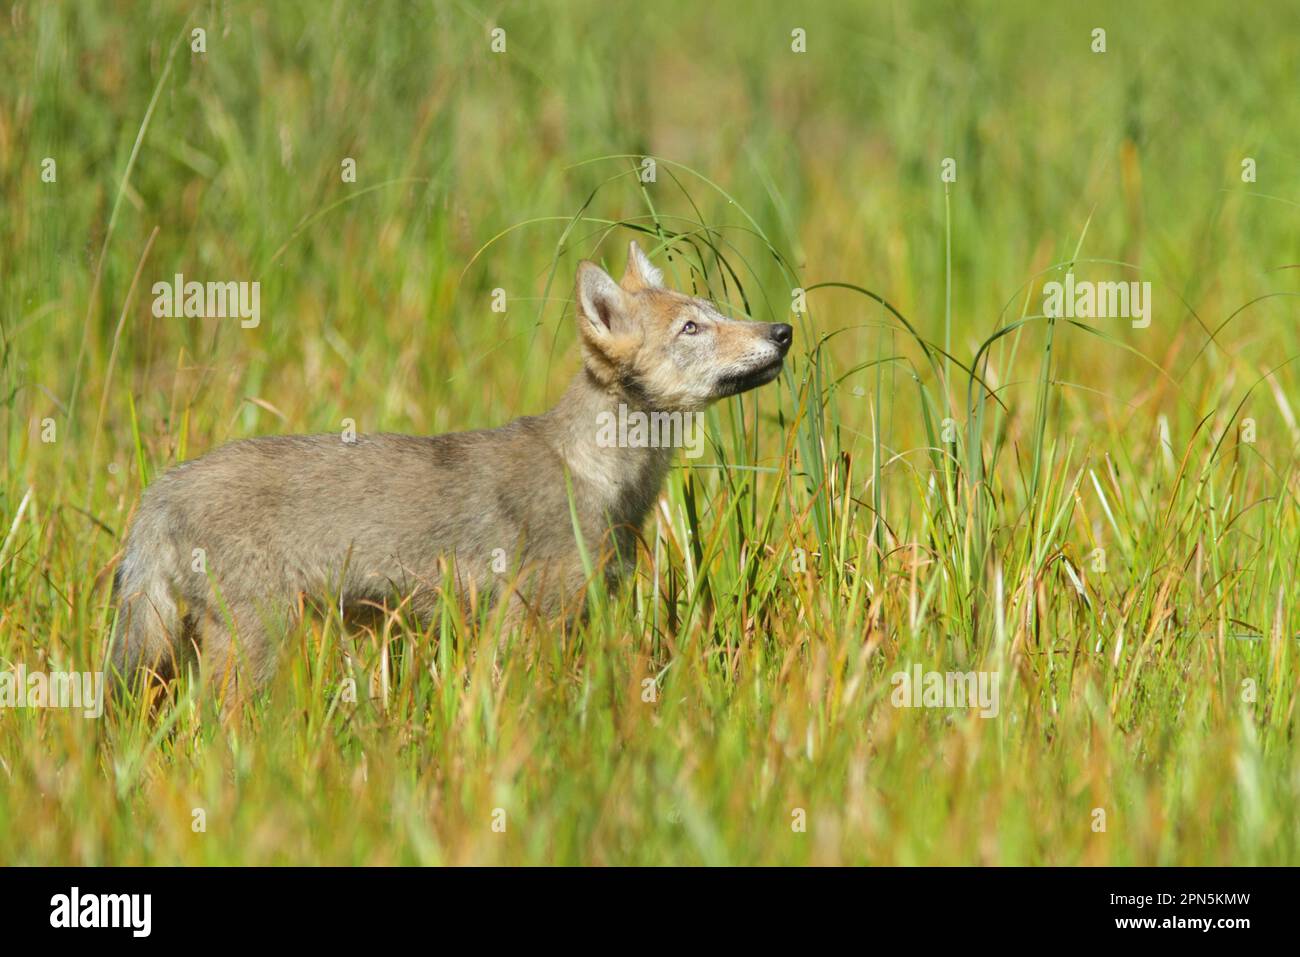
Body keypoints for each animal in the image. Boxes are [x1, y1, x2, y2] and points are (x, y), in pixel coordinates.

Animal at [108, 242, 792, 706]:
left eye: (714, 310)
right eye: (692, 328)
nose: (783, 330)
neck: (599, 477)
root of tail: (160, 490)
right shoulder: (525, 625)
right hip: (254, 649)